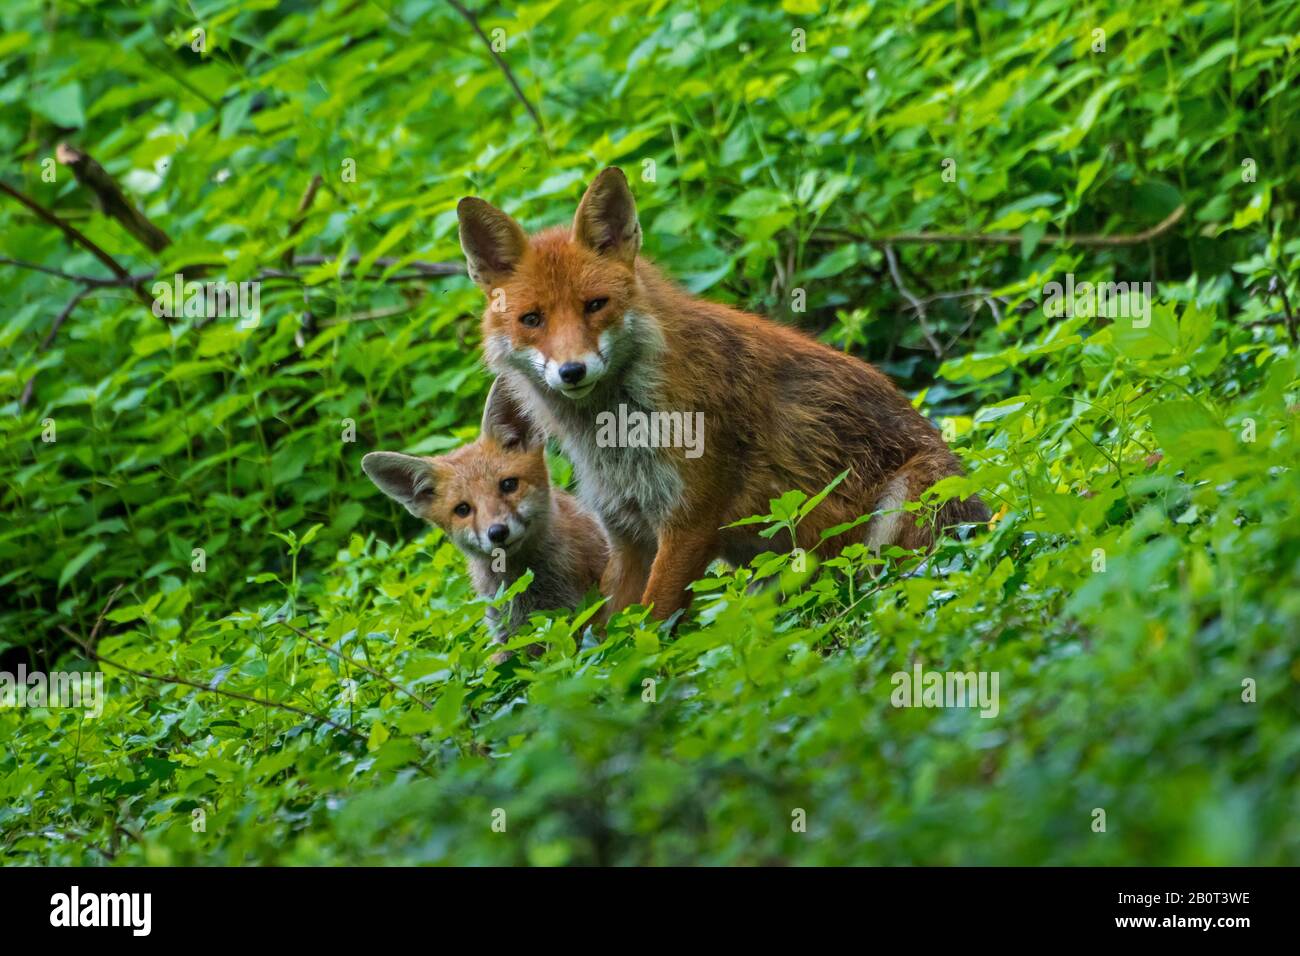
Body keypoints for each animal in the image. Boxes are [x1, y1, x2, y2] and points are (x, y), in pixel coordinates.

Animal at [456, 166, 988, 621]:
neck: (616, 433)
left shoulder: (691, 520)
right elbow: (614, 634)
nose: (571, 371)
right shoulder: (626, 532)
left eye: (594, 305)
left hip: (904, 507)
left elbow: (654, 621)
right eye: (532, 319)